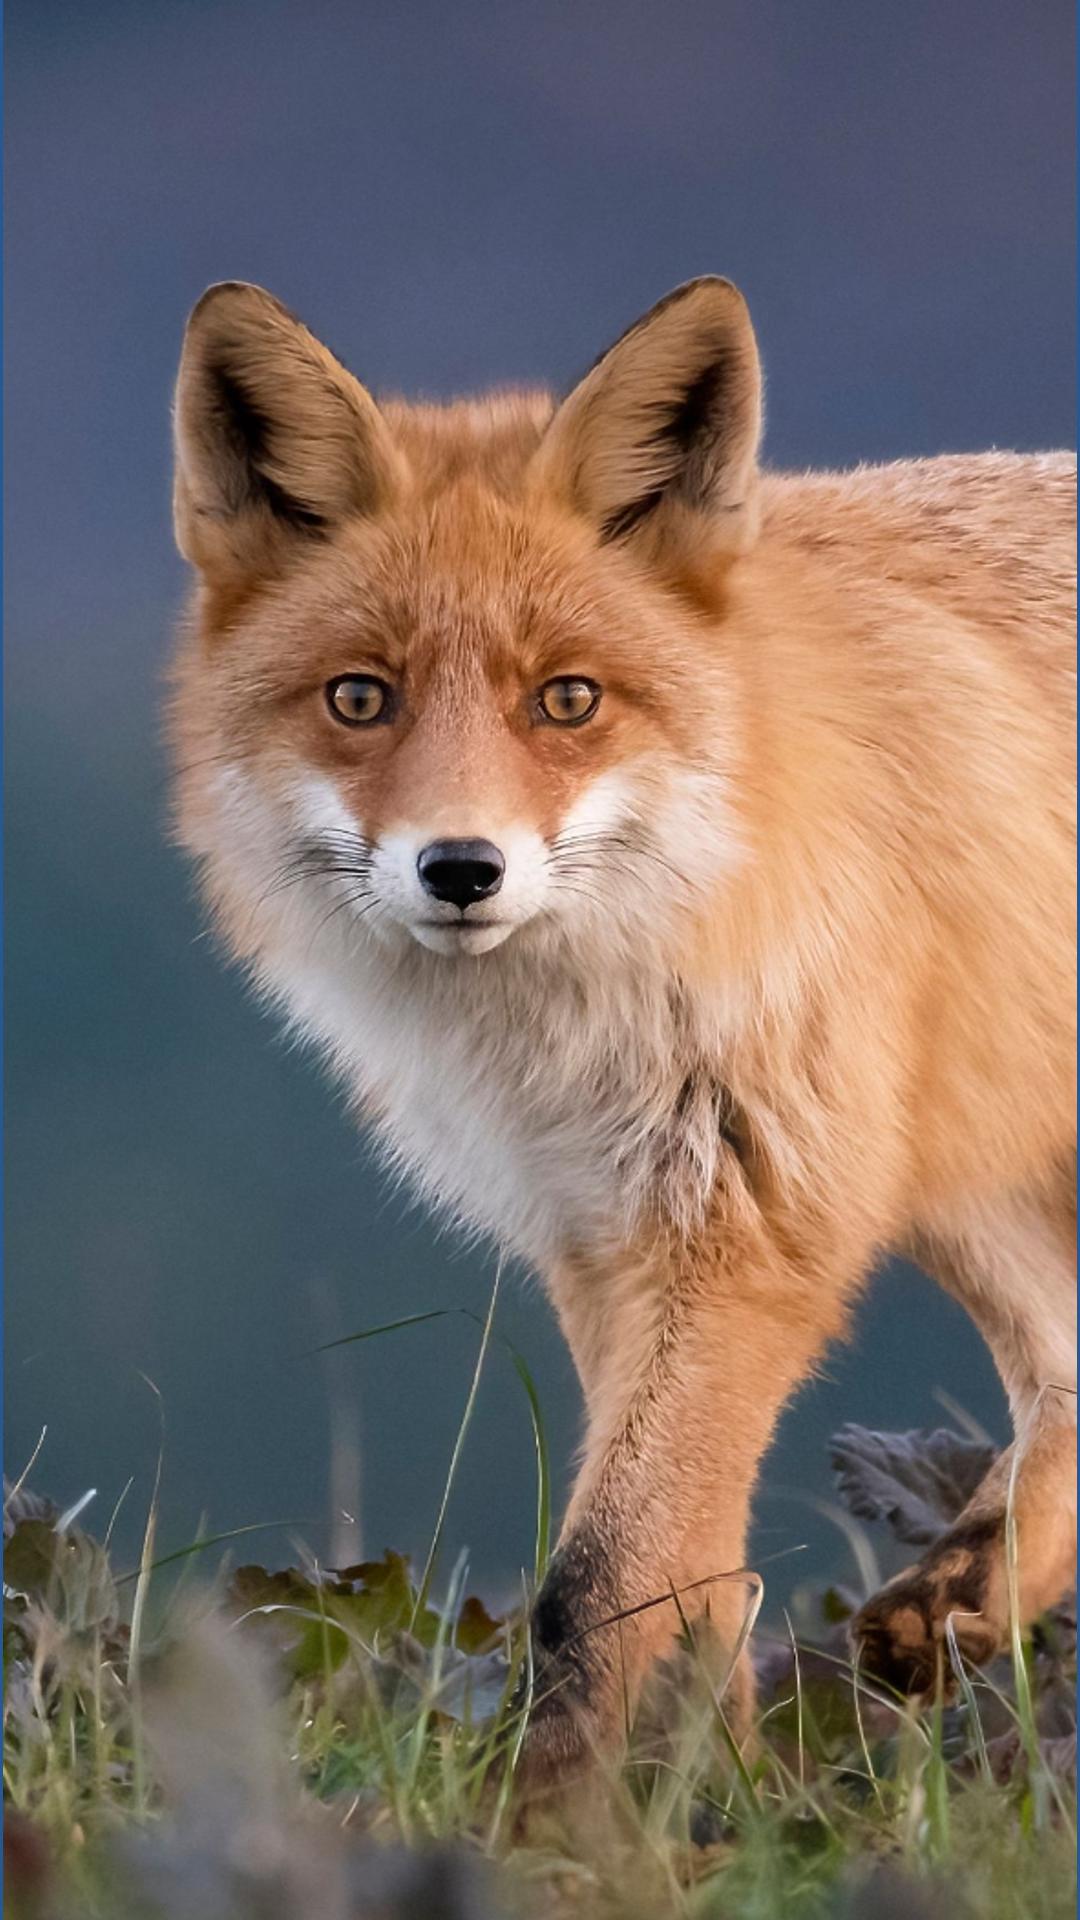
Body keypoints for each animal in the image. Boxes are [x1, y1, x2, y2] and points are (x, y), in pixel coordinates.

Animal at [169, 275, 1076, 1791]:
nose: (460, 869)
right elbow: (685, 1580)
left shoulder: (742, 1226)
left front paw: (557, 1820)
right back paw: (954, 1601)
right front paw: (695, 1793)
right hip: (965, 1176)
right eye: (361, 698)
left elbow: (603, 1577)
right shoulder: (601, 1235)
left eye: (568, 700)